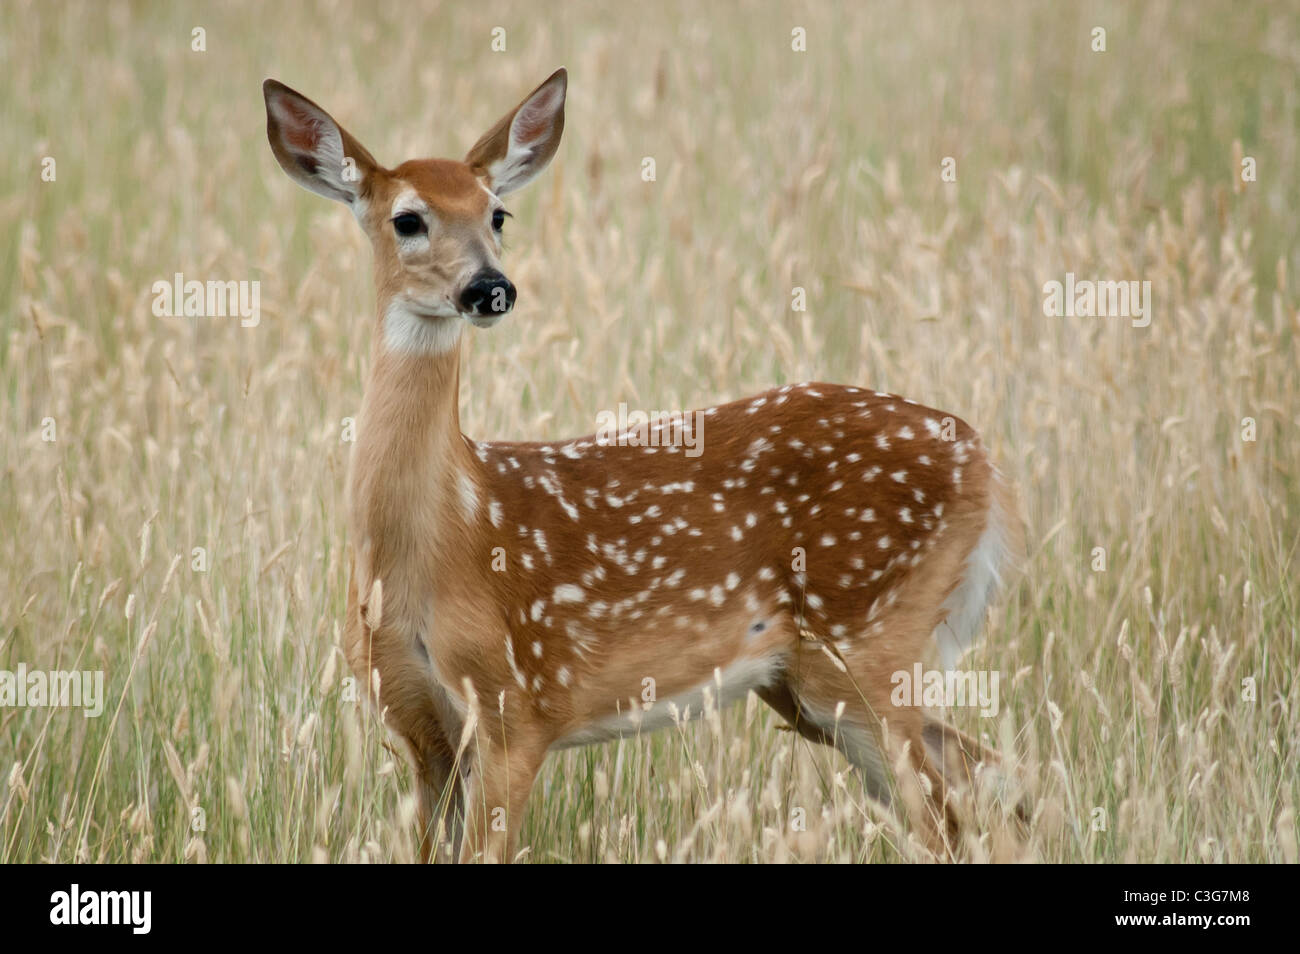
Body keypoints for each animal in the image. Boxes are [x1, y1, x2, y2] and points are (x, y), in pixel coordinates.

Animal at [263, 68, 1025, 863]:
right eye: (408, 219)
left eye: (498, 213)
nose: (489, 287)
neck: (439, 539)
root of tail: (984, 460)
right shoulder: (418, 731)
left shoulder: (517, 707)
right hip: (814, 686)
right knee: (996, 780)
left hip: (871, 641)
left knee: (958, 807)